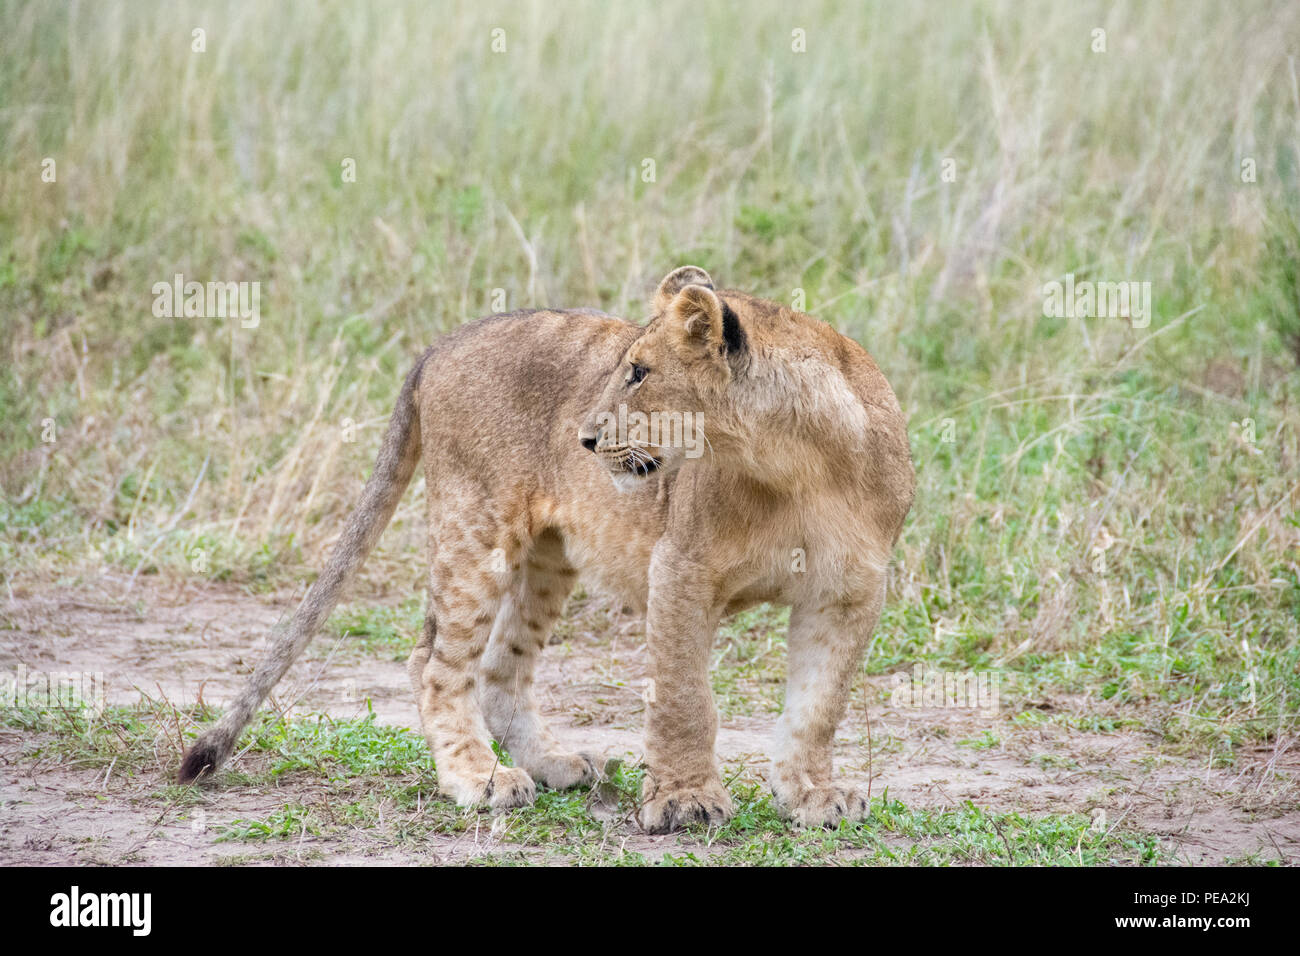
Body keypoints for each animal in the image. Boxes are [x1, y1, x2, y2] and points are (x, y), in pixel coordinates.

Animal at [179, 266, 914, 832]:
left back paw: (555, 765)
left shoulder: (849, 593)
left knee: (502, 667)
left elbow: (819, 707)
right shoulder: (681, 569)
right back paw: (479, 778)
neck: (796, 461)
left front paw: (813, 797)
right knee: (434, 661)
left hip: (549, 555)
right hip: (475, 528)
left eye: (639, 373)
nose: (585, 440)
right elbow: (685, 697)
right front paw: (685, 801)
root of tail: (443, 342)